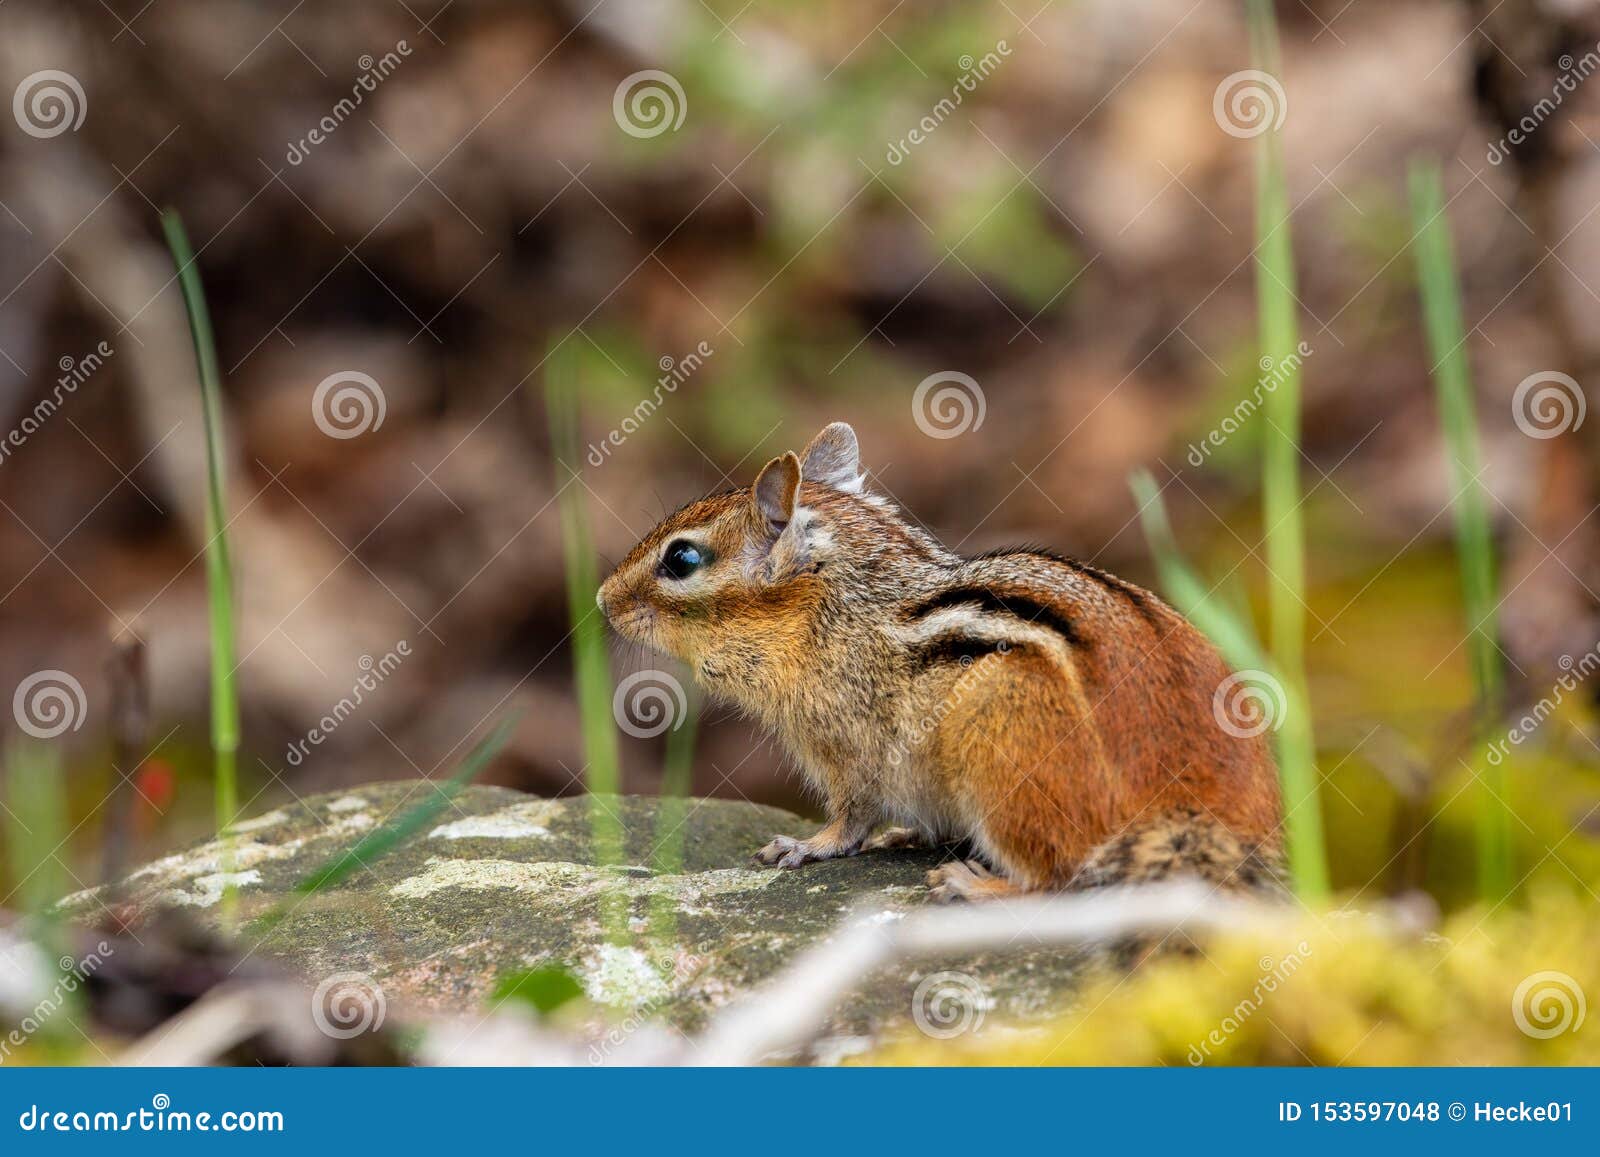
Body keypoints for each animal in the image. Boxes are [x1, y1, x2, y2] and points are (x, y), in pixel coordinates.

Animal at [597, 422, 1286, 902]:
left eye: (682, 559)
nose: (602, 600)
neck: (838, 608)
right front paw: (906, 832)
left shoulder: (849, 750)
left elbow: (850, 820)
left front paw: (806, 845)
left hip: (1002, 747)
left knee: (1056, 881)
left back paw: (974, 885)